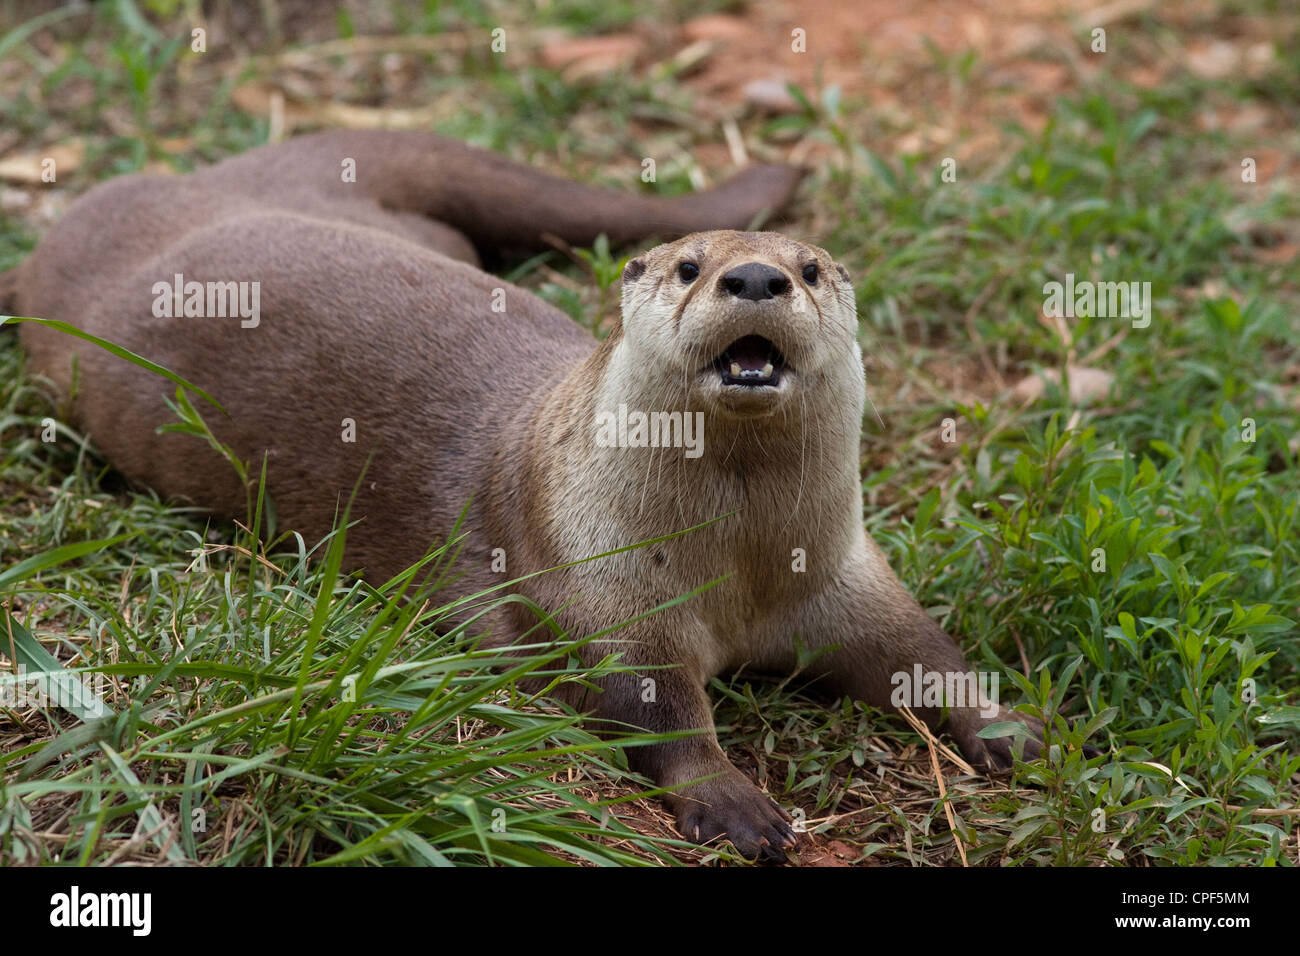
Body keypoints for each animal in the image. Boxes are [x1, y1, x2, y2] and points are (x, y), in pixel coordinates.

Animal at [5, 130, 1041, 860]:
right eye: (689, 266)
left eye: (812, 269)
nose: (756, 275)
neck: (742, 568)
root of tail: (186, 183)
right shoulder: (600, 594)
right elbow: (656, 710)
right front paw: (735, 804)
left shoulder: (844, 574)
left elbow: (921, 653)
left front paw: (1009, 730)